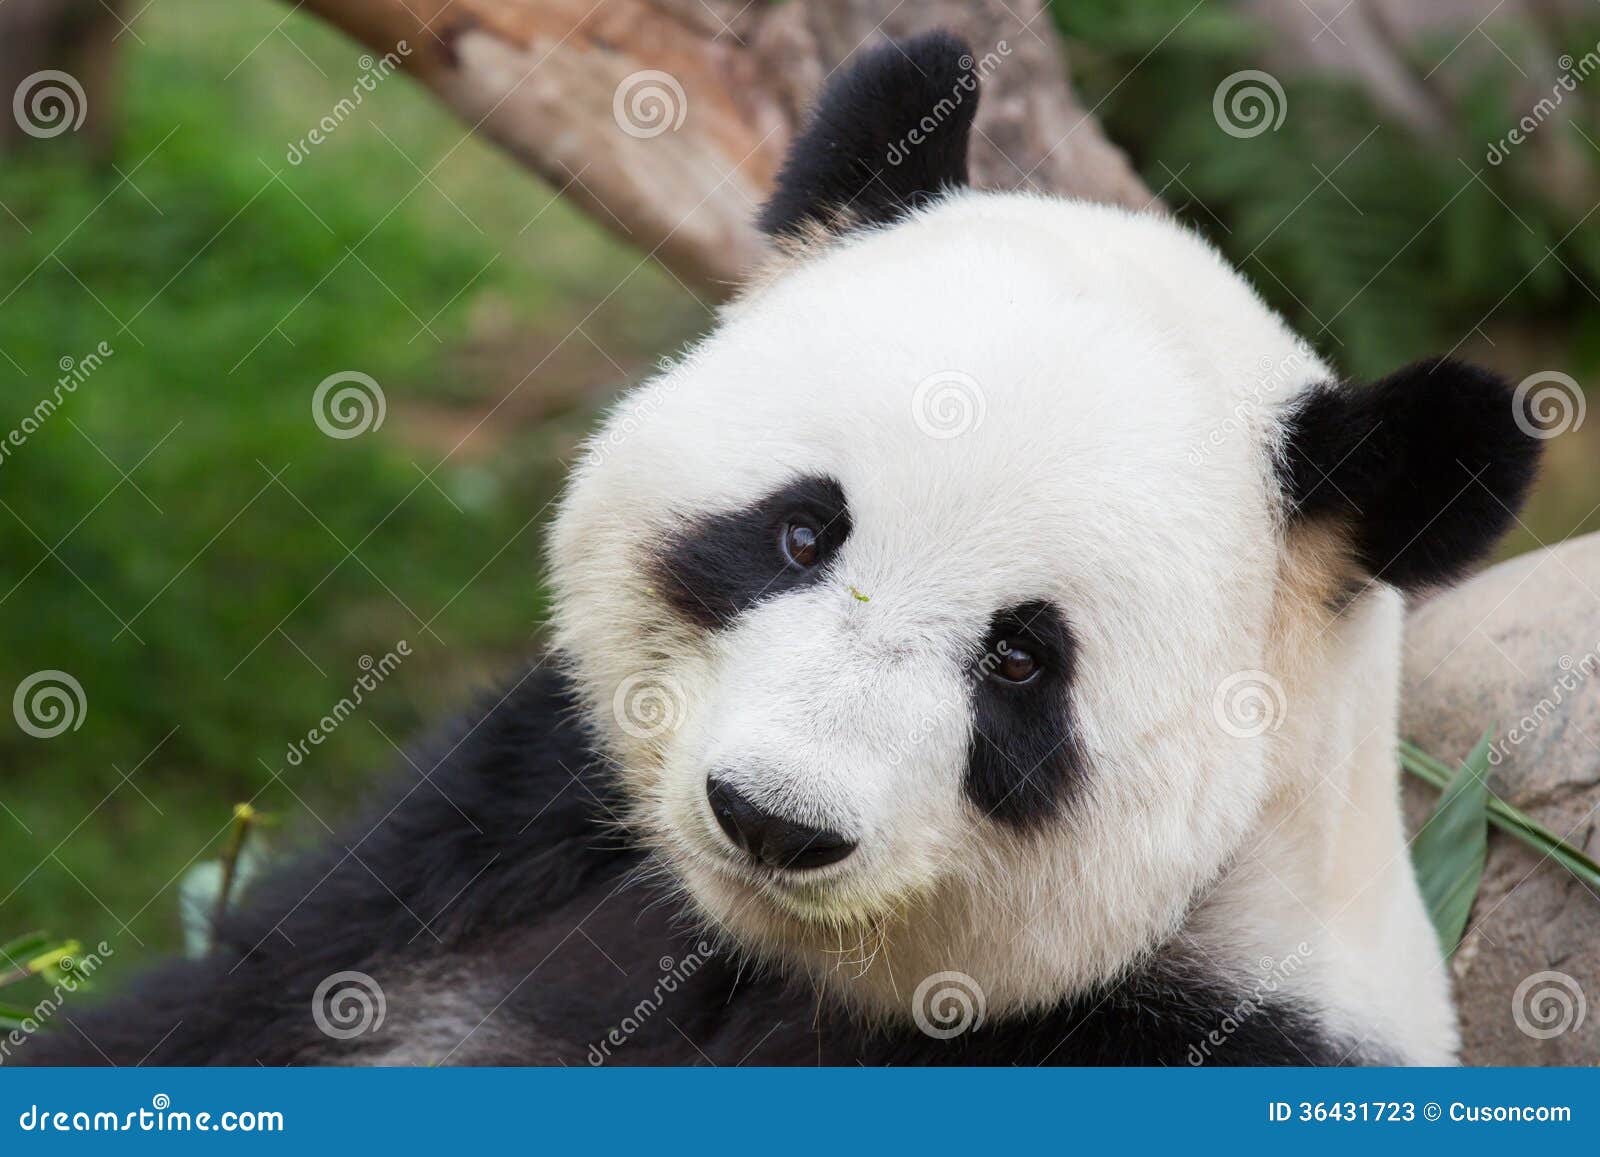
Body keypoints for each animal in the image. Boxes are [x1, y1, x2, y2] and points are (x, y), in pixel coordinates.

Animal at [25, 32, 1540, 1067]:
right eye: (803, 530)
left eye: (1021, 659)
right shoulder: (507, 823)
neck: (770, 953)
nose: (773, 818)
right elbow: (222, 1006)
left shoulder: (1188, 1030)